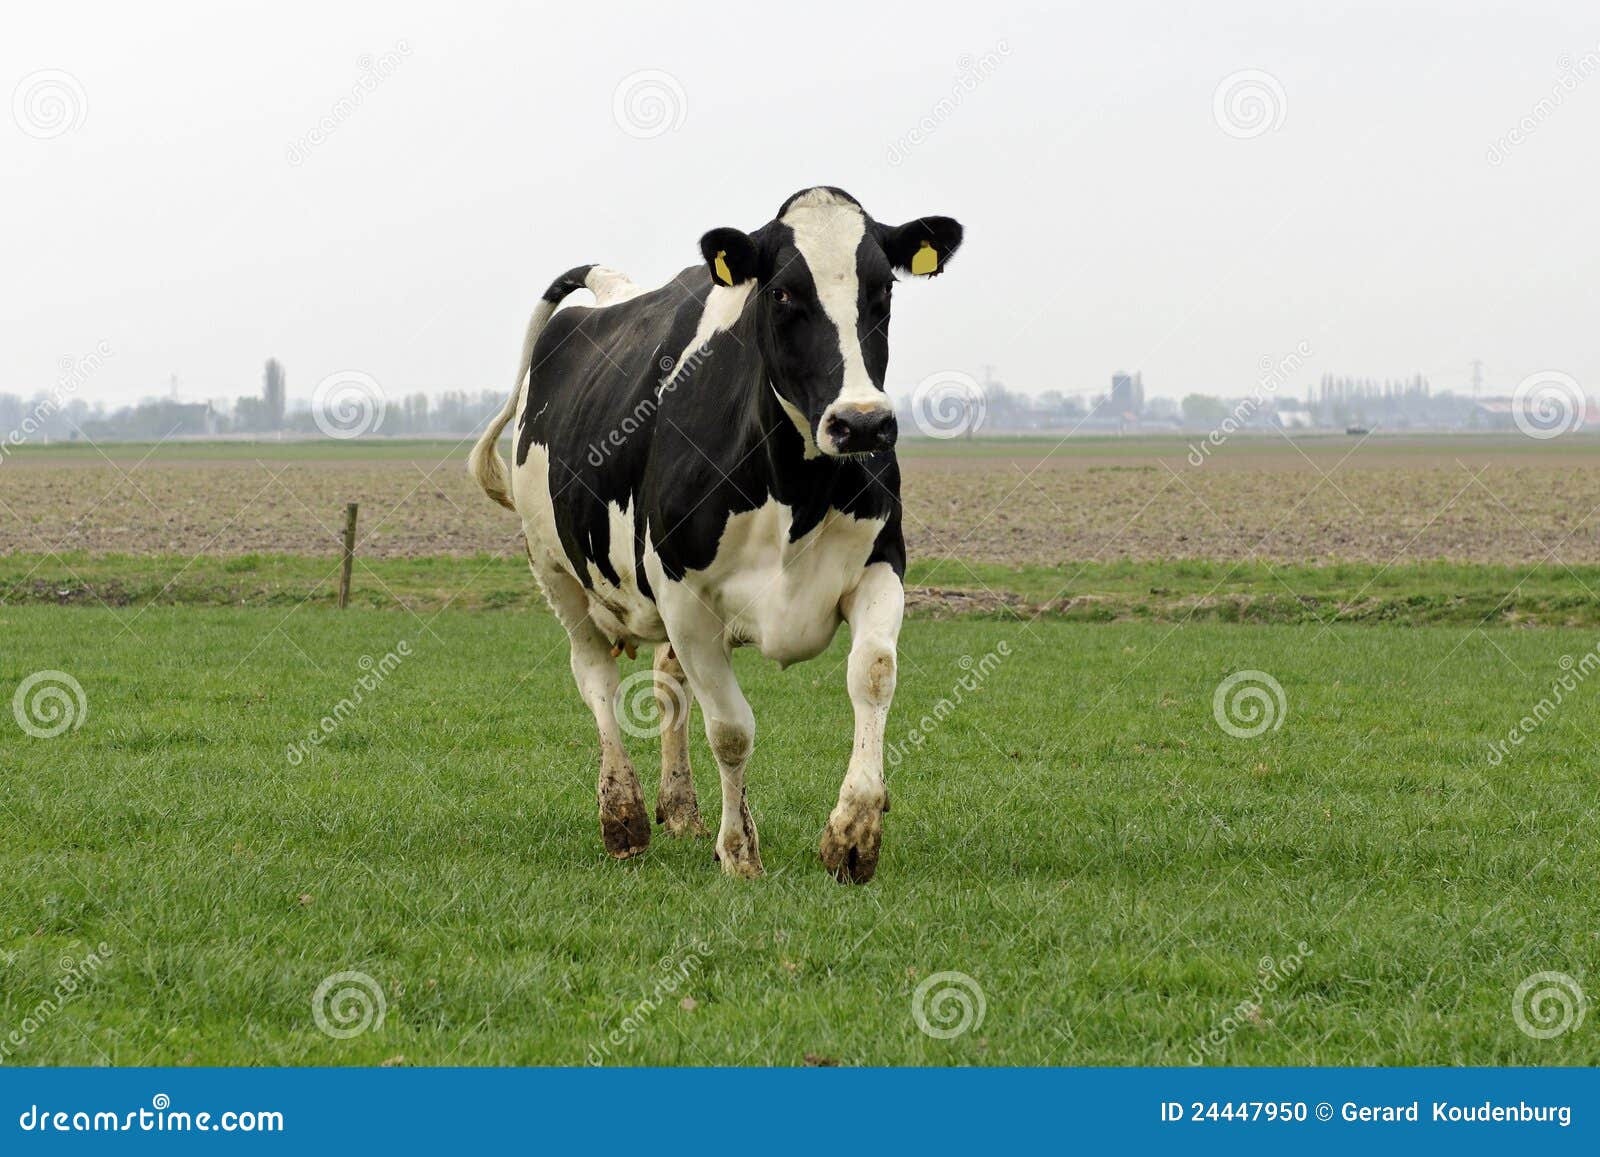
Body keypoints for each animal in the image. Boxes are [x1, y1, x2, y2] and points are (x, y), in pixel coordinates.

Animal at [469, 186, 963, 882]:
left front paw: (853, 834)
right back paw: (624, 815)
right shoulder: (682, 594)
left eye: (883, 288)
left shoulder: (880, 563)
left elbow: (872, 674)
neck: (795, 490)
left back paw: (680, 810)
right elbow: (730, 728)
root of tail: (612, 290)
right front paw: (739, 851)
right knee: (596, 678)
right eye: (781, 293)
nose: (862, 424)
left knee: (667, 683)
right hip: (555, 572)